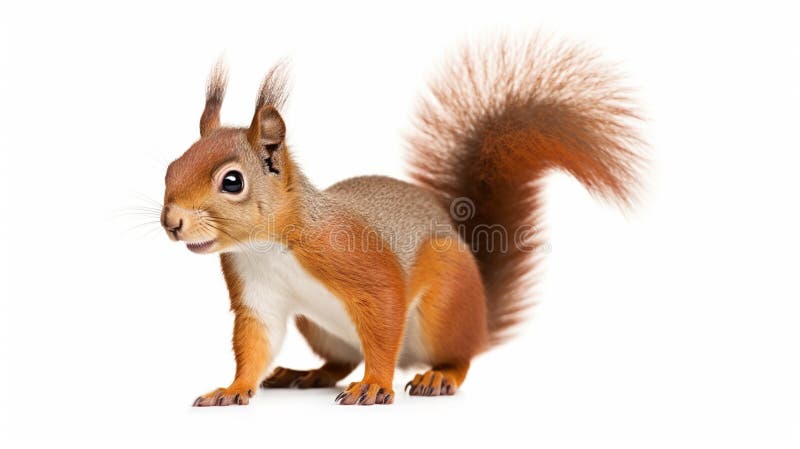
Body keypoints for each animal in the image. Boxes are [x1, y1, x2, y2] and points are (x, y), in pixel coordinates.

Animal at [161, 36, 643, 406]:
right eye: (170, 167)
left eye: (232, 181)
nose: (171, 222)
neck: (270, 246)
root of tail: (481, 318)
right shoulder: (256, 293)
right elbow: (255, 343)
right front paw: (234, 388)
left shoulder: (357, 262)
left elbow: (383, 315)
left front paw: (375, 385)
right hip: (319, 328)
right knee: (342, 359)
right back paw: (307, 373)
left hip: (443, 307)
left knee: (458, 355)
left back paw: (438, 376)